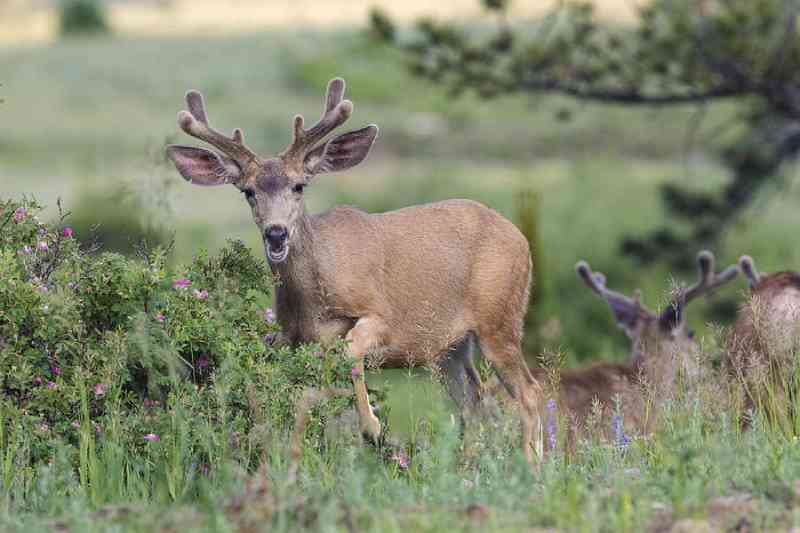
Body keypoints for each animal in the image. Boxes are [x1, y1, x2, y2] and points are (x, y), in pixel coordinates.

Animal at [164, 78, 543, 464]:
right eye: (248, 191)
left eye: (299, 185)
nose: (276, 233)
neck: (311, 301)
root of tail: (521, 238)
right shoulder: (293, 340)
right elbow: (303, 400)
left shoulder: (382, 315)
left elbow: (351, 350)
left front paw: (372, 427)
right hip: (450, 346)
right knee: (472, 399)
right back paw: (466, 466)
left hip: (499, 317)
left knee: (529, 391)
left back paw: (533, 464)